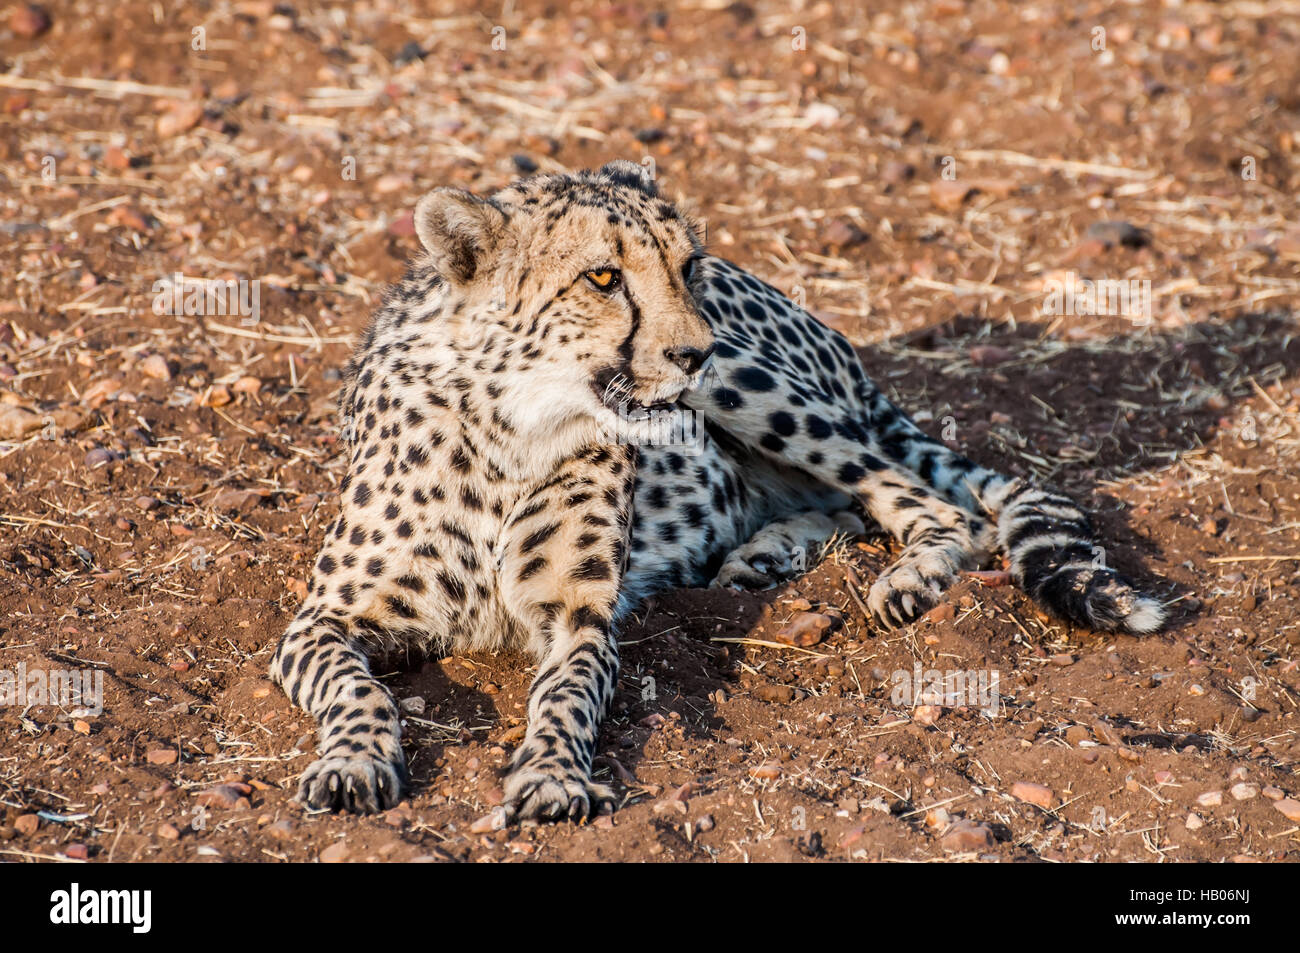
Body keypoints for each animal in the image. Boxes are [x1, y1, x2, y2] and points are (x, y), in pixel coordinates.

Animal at [270, 161, 1167, 821]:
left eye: (685, 265)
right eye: (603, 277)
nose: (692, 350)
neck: (510, 427)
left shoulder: (580, 615)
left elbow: (567, 695)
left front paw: (552, 775)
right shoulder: (320, 621)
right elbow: (357, 689)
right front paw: (353, 761)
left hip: (754, 388)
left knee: (928, 502)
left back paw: (904, 576)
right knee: (848, 501)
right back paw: (763, 555)